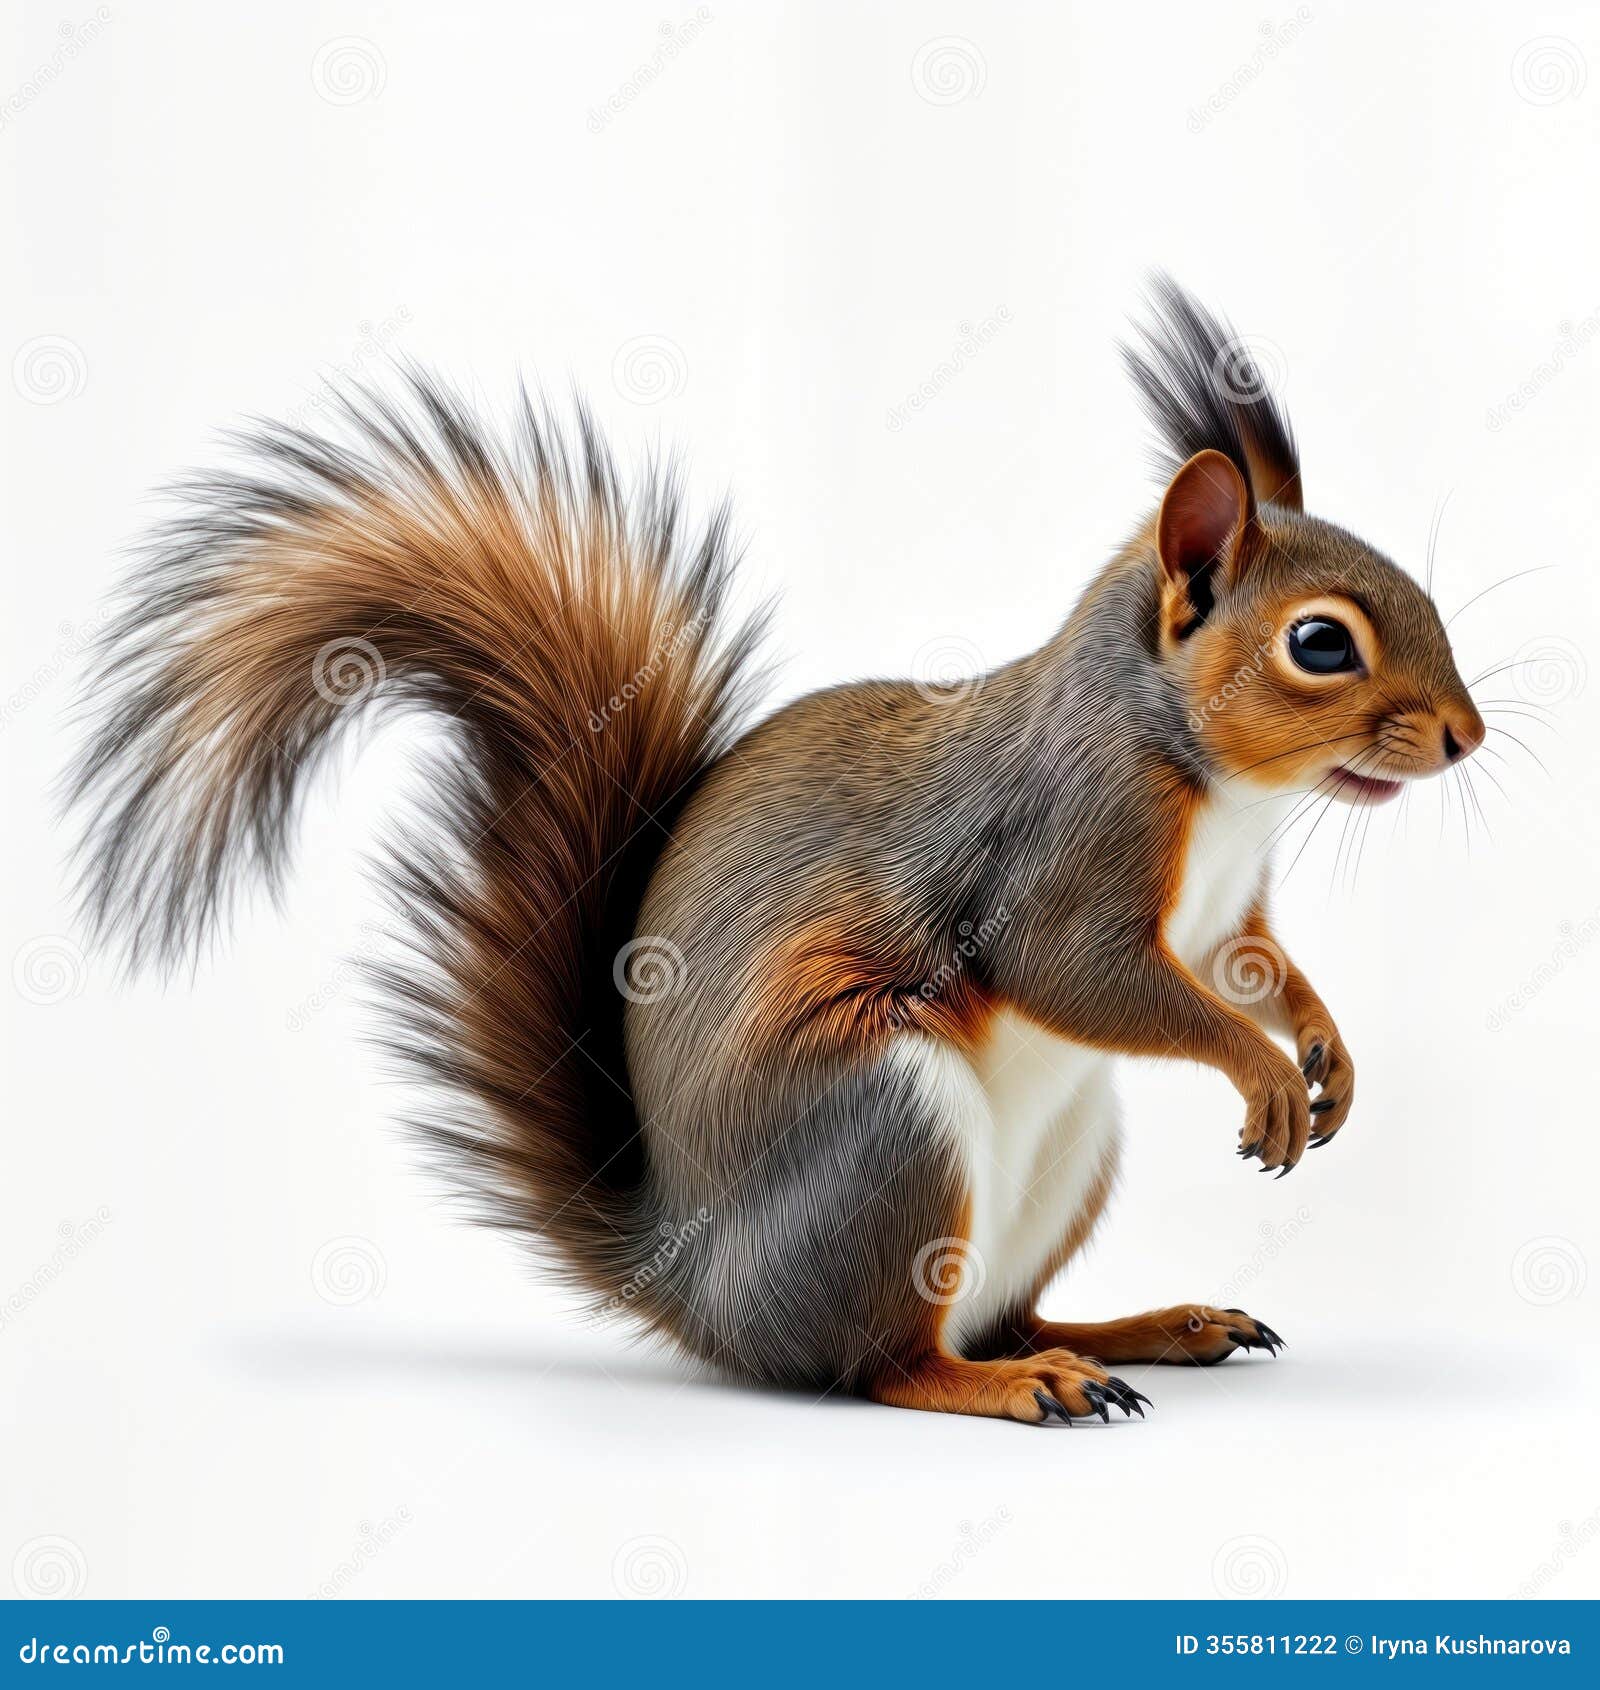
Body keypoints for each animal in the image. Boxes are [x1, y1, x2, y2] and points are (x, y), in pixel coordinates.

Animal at [70, 279, 1486, 1425]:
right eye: (1319, 642)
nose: (1467, 736)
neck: (1218, 788)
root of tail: (699, 1286)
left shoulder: (1227, 915)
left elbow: (1257, 968)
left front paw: (1322, 1051)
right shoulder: (1057, 850)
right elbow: (1080, 974)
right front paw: (1261, 1069)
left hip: (1068, 1150)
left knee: (998, 1310)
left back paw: (1146, 1329)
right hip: (885, 1124)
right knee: (884, 1361)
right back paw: (1022, 1383)